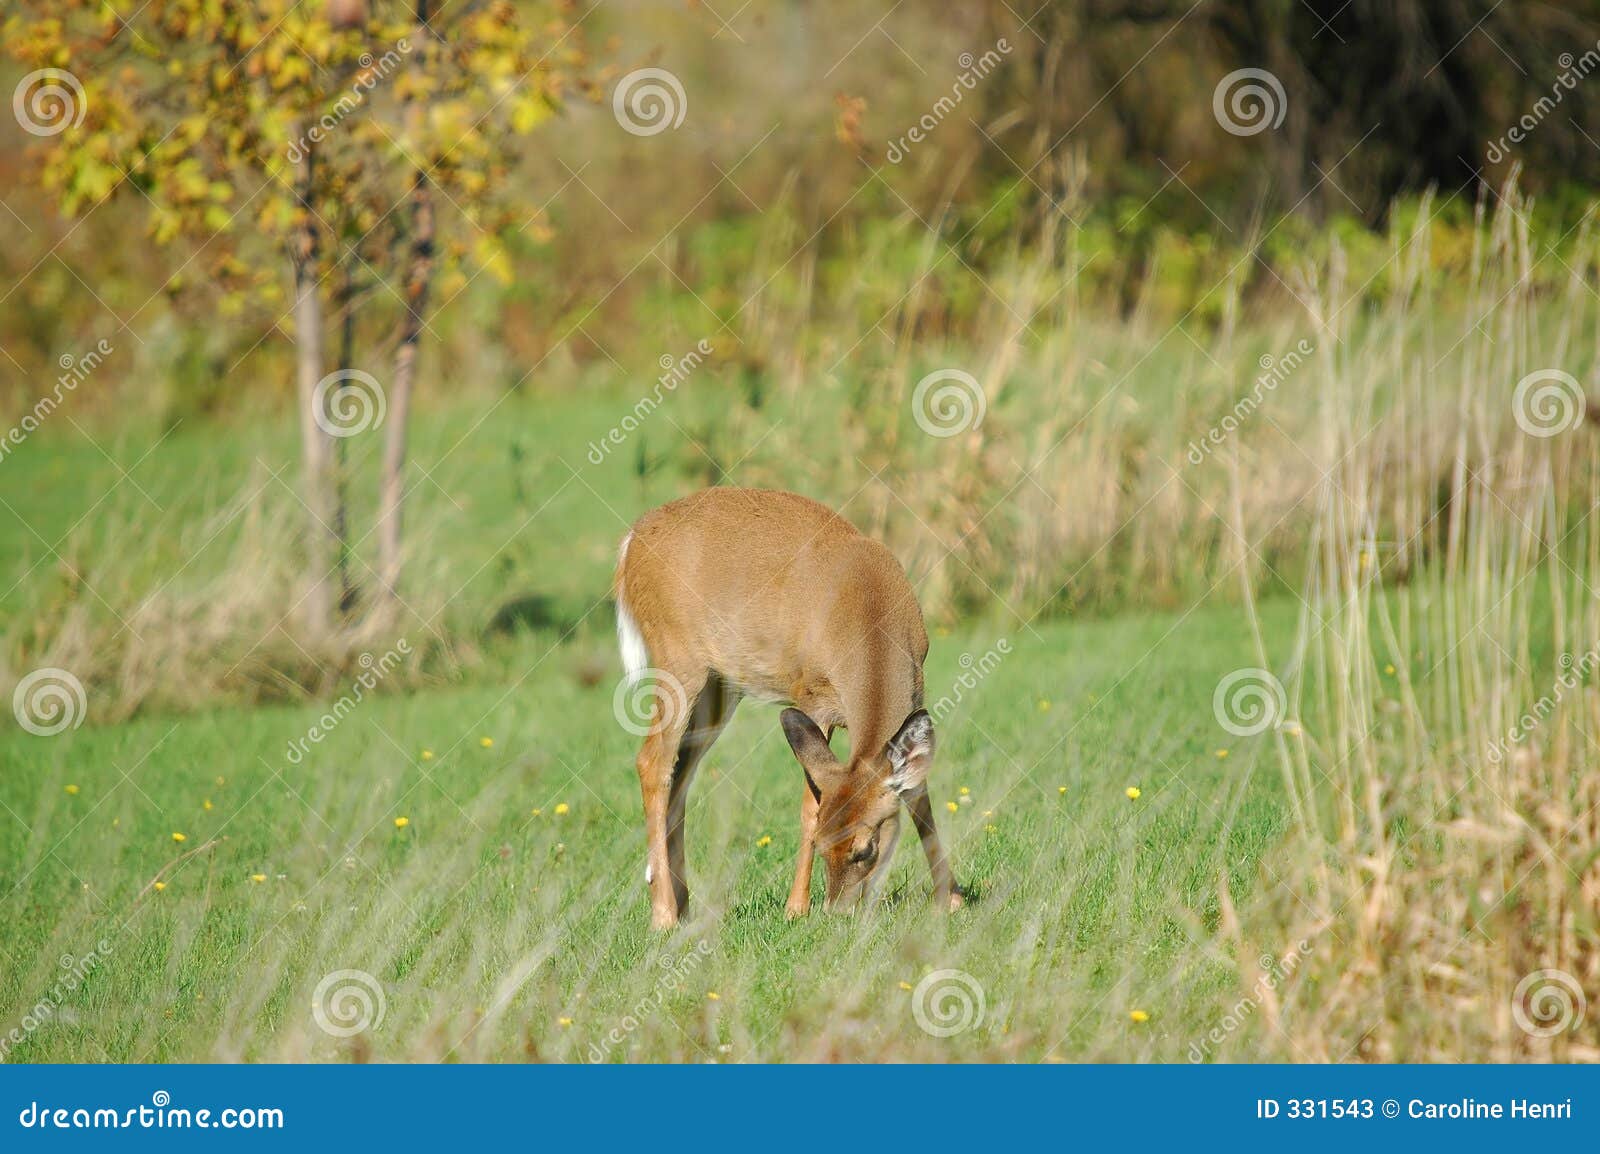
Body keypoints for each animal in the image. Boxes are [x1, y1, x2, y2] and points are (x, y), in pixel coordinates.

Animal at [612, 486, 960, 929]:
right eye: (822, 842)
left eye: (865, 849)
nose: (838, 909)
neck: (870, 612)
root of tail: (630, 542)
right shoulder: (812, 694)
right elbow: (809, 805)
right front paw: (796, 908)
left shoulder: (917, 695)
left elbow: (919, 798)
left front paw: (951, 899)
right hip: (676, 657)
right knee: (652, 762)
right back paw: (663, 916)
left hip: (718, 688)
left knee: (680, 774)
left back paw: (685, 906)